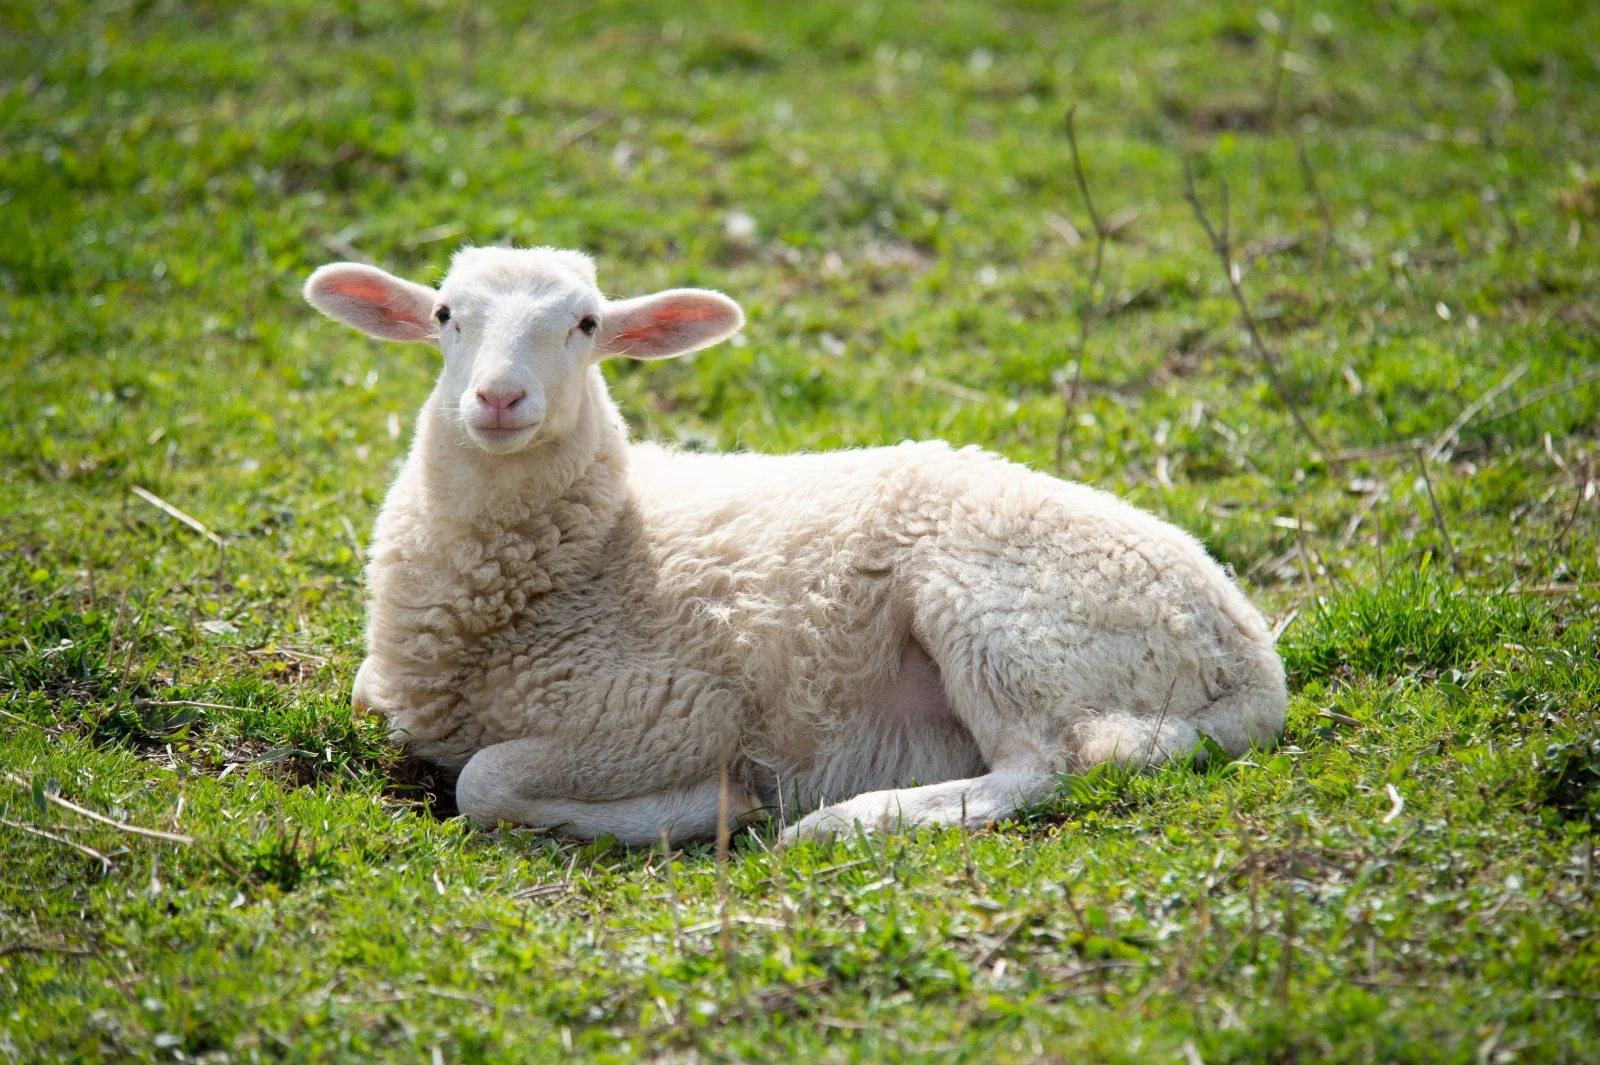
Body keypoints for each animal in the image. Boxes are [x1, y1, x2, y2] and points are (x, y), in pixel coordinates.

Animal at [303, 245, 1287, 845]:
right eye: (444, 314)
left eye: (586, 324)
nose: (500, 398)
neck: (597, 553)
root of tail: (1249, 654)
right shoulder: (389, 682)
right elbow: (377, 704)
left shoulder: (670, 710)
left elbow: (484, 780)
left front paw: (714, 805)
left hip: (1005, 621)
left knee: (1056, 764)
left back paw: (846, 821)